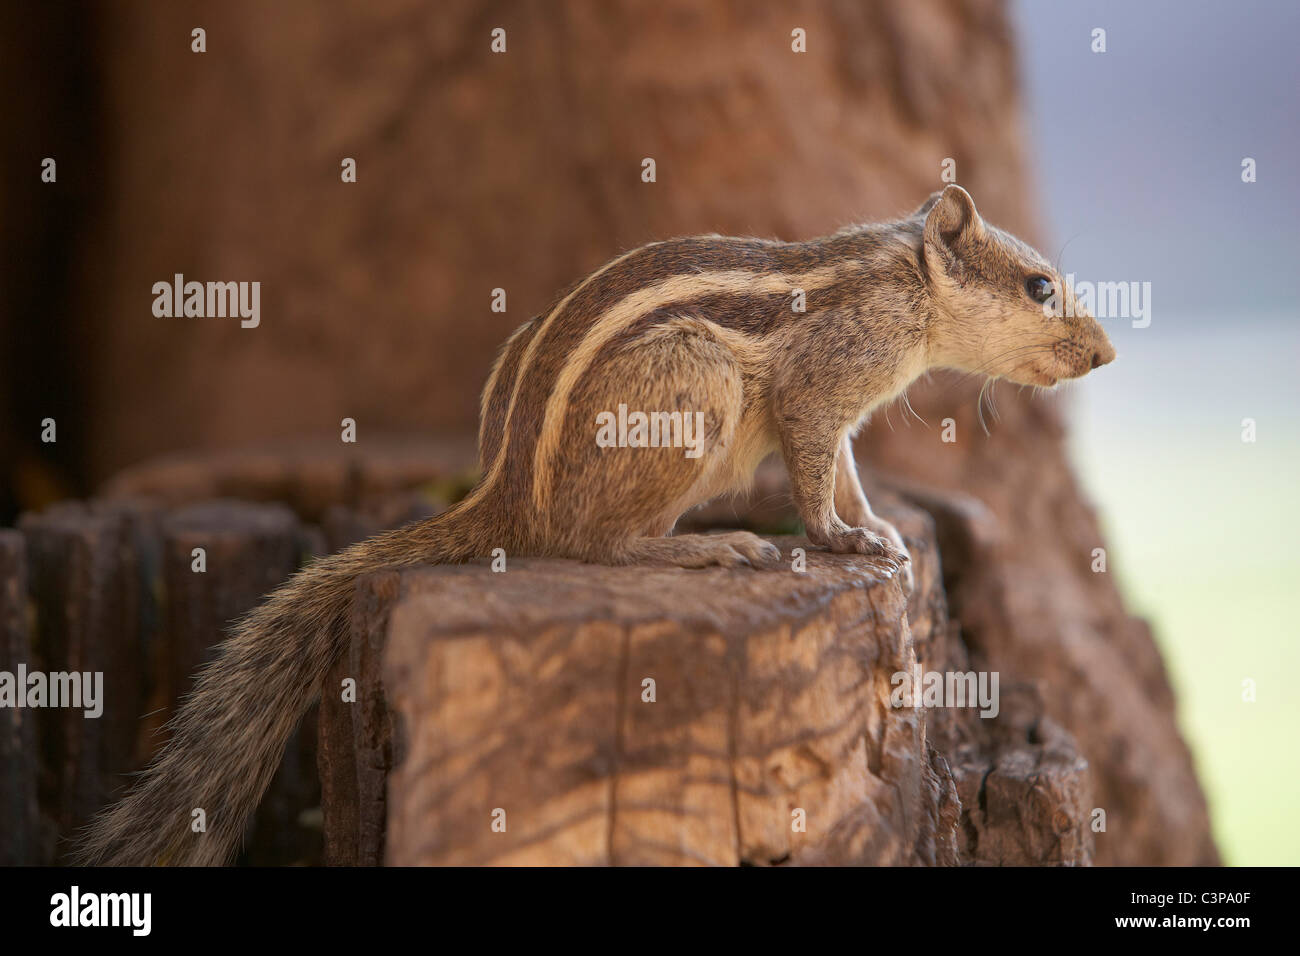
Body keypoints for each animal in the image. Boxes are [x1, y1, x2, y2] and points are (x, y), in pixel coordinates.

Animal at [74, 184, 1115, 865]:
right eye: (1037, 286)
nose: (1106, 354)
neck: (906, 284)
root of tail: (505, 497)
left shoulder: (844, 410)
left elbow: (854, 476)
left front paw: (882, 533)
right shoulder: (821, 389)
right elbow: (820, 475)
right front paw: (842, 540)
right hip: (691, 386)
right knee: (595, 544)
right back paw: (708, 545)